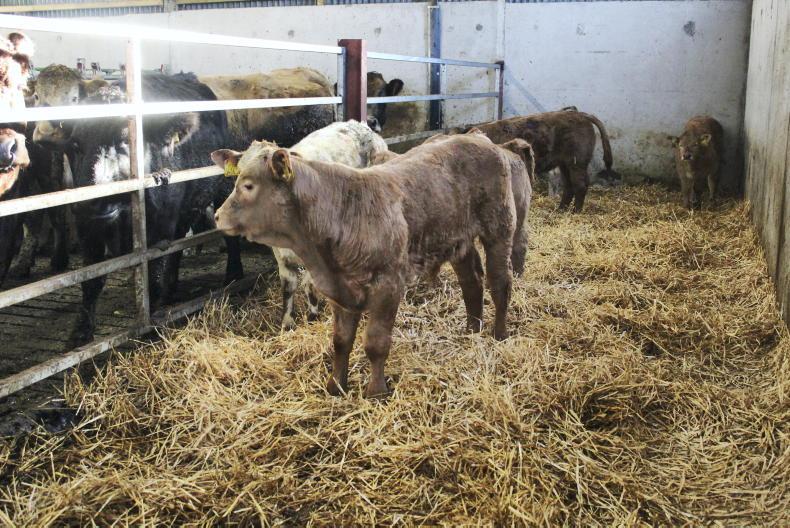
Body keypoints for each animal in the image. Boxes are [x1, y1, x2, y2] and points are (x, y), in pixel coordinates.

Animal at [64, 72, 243, 345]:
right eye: (75, 143)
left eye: (125, 140)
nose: (94, 200)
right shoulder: (88, 228)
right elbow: (92, 278)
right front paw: (81, 332)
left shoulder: (159, 226)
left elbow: (154, 274)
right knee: (178, 246)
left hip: (222, 188)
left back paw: (234, 275)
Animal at [212, 119, 389, 330]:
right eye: (237, 175)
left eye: (250, 184)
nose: (219, 215)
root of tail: (360, 124)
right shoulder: (281, 255)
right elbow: (288, 286)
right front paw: (287, 323)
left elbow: (309, 283)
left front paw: (313, 315)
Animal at [454, 109, 617, 212]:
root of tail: (583, 115)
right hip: (564, 163)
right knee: (568, 185)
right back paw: (561, 210)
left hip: (577, 162)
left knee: (580, 185)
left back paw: (576, 212)